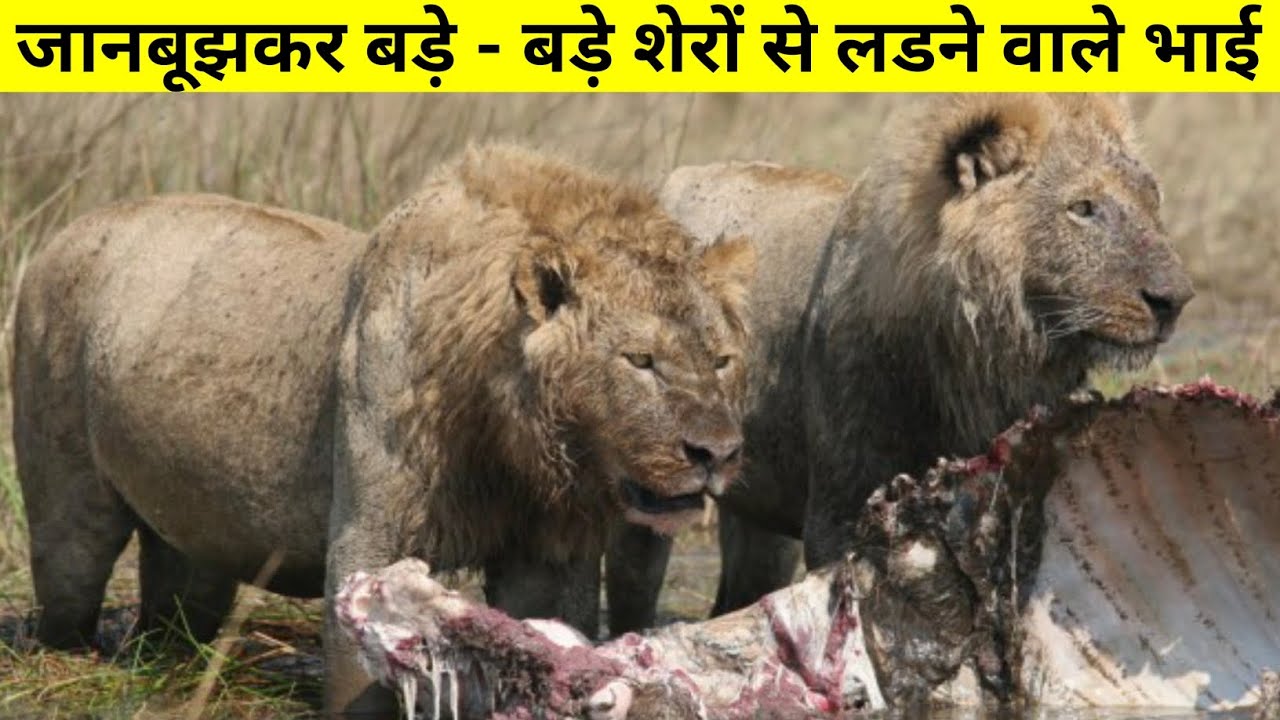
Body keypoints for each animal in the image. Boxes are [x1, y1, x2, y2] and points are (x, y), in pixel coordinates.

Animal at [13, 144, 755, 714]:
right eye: (640, 360)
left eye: (720, 359)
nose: (716, 452)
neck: (511, 440)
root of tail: (67, 229)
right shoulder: (371, 534)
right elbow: (358, 675)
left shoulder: (550, 550)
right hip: (63, 477)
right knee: (70, 570)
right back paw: (69, 656)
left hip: (191, 514)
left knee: (180, 590)